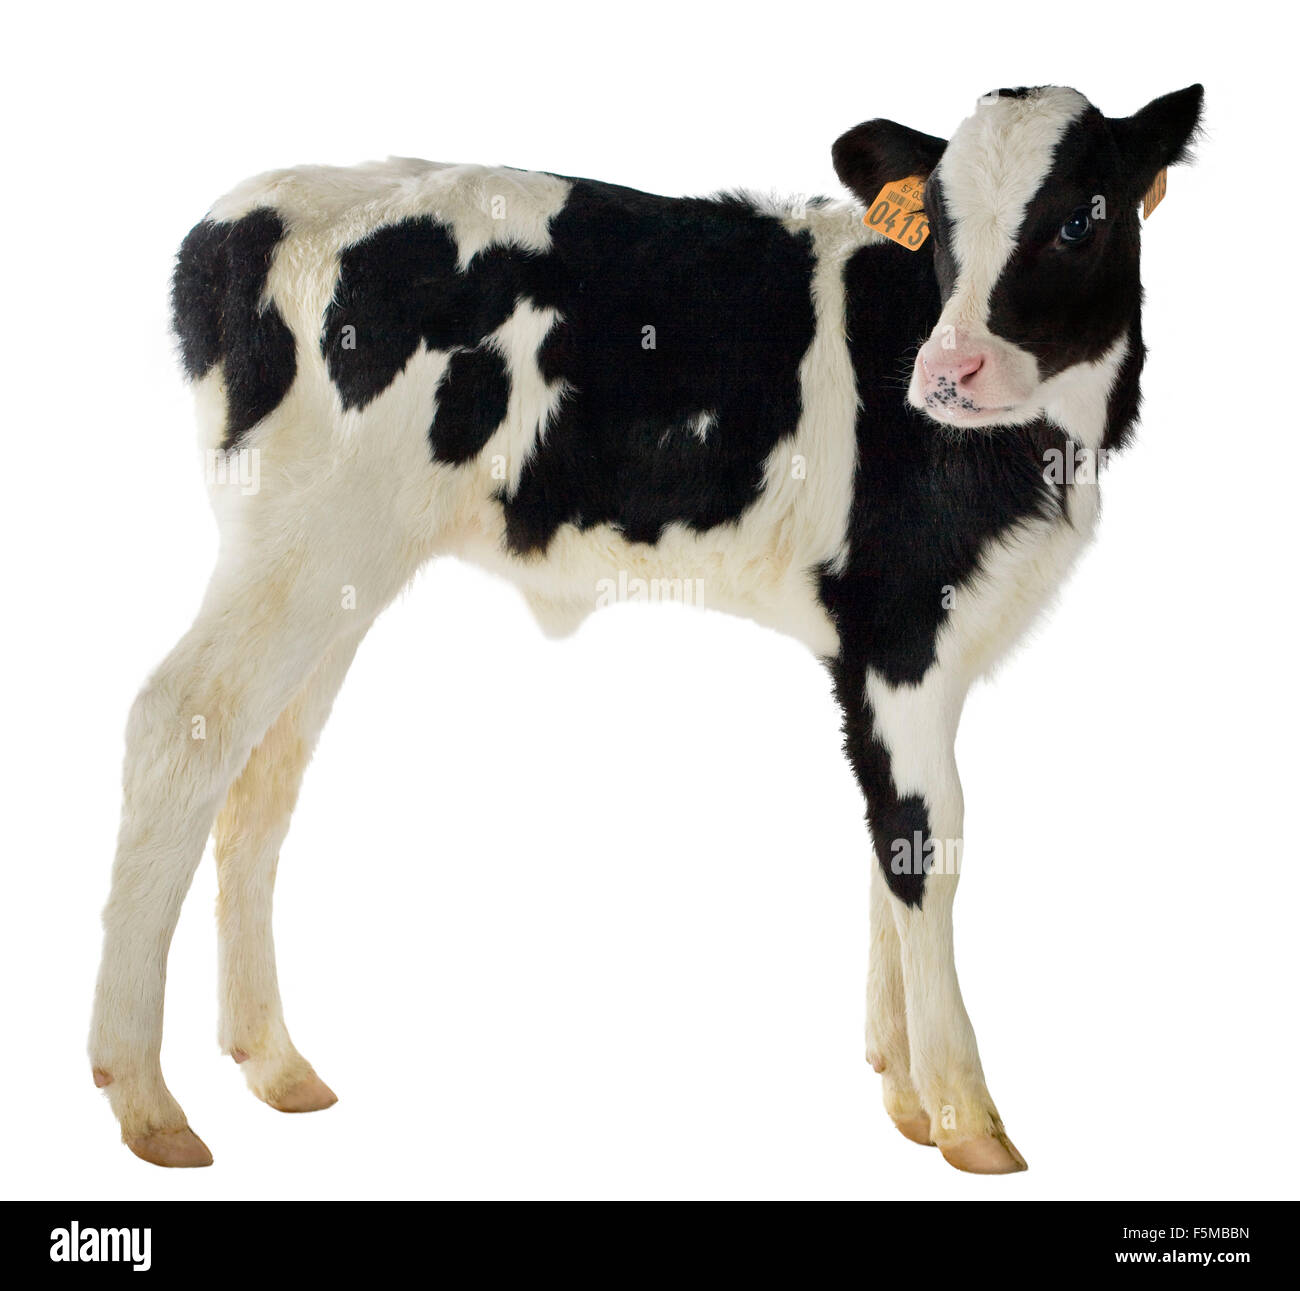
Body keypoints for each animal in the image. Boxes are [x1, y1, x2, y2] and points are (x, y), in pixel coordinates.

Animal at [90, 84, 1204, 1171]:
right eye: (937, 216)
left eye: (1083, 216)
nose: (948, 371)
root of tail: (253, 211)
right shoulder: (898, 632)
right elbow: (924, 841)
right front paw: (967, 1116)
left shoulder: (908, 651)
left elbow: (887, 836)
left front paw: (903, 1093)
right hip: (306, 539)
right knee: (180, 725)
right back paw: (145, 1099)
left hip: (335, 571)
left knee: (262, 775)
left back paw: (274, 1065)